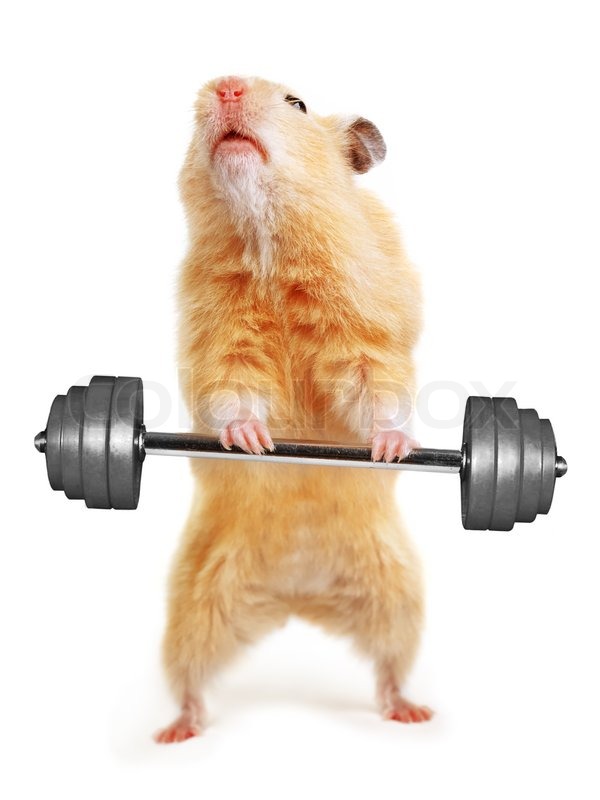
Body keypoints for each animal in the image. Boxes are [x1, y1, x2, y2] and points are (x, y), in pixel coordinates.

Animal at [154, 76, 431, 743]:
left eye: (296, 104)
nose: (225, 85)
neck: (267, 241)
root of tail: (297, 597)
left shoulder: (366, 335)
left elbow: (377, 393)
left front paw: (390, 448)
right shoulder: (220, 343)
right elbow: (231, 394)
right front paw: (252, 440)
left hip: (398, 593)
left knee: (389, 666)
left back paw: (412, 712)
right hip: (193, 603)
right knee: (189, 678)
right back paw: (176, 731)